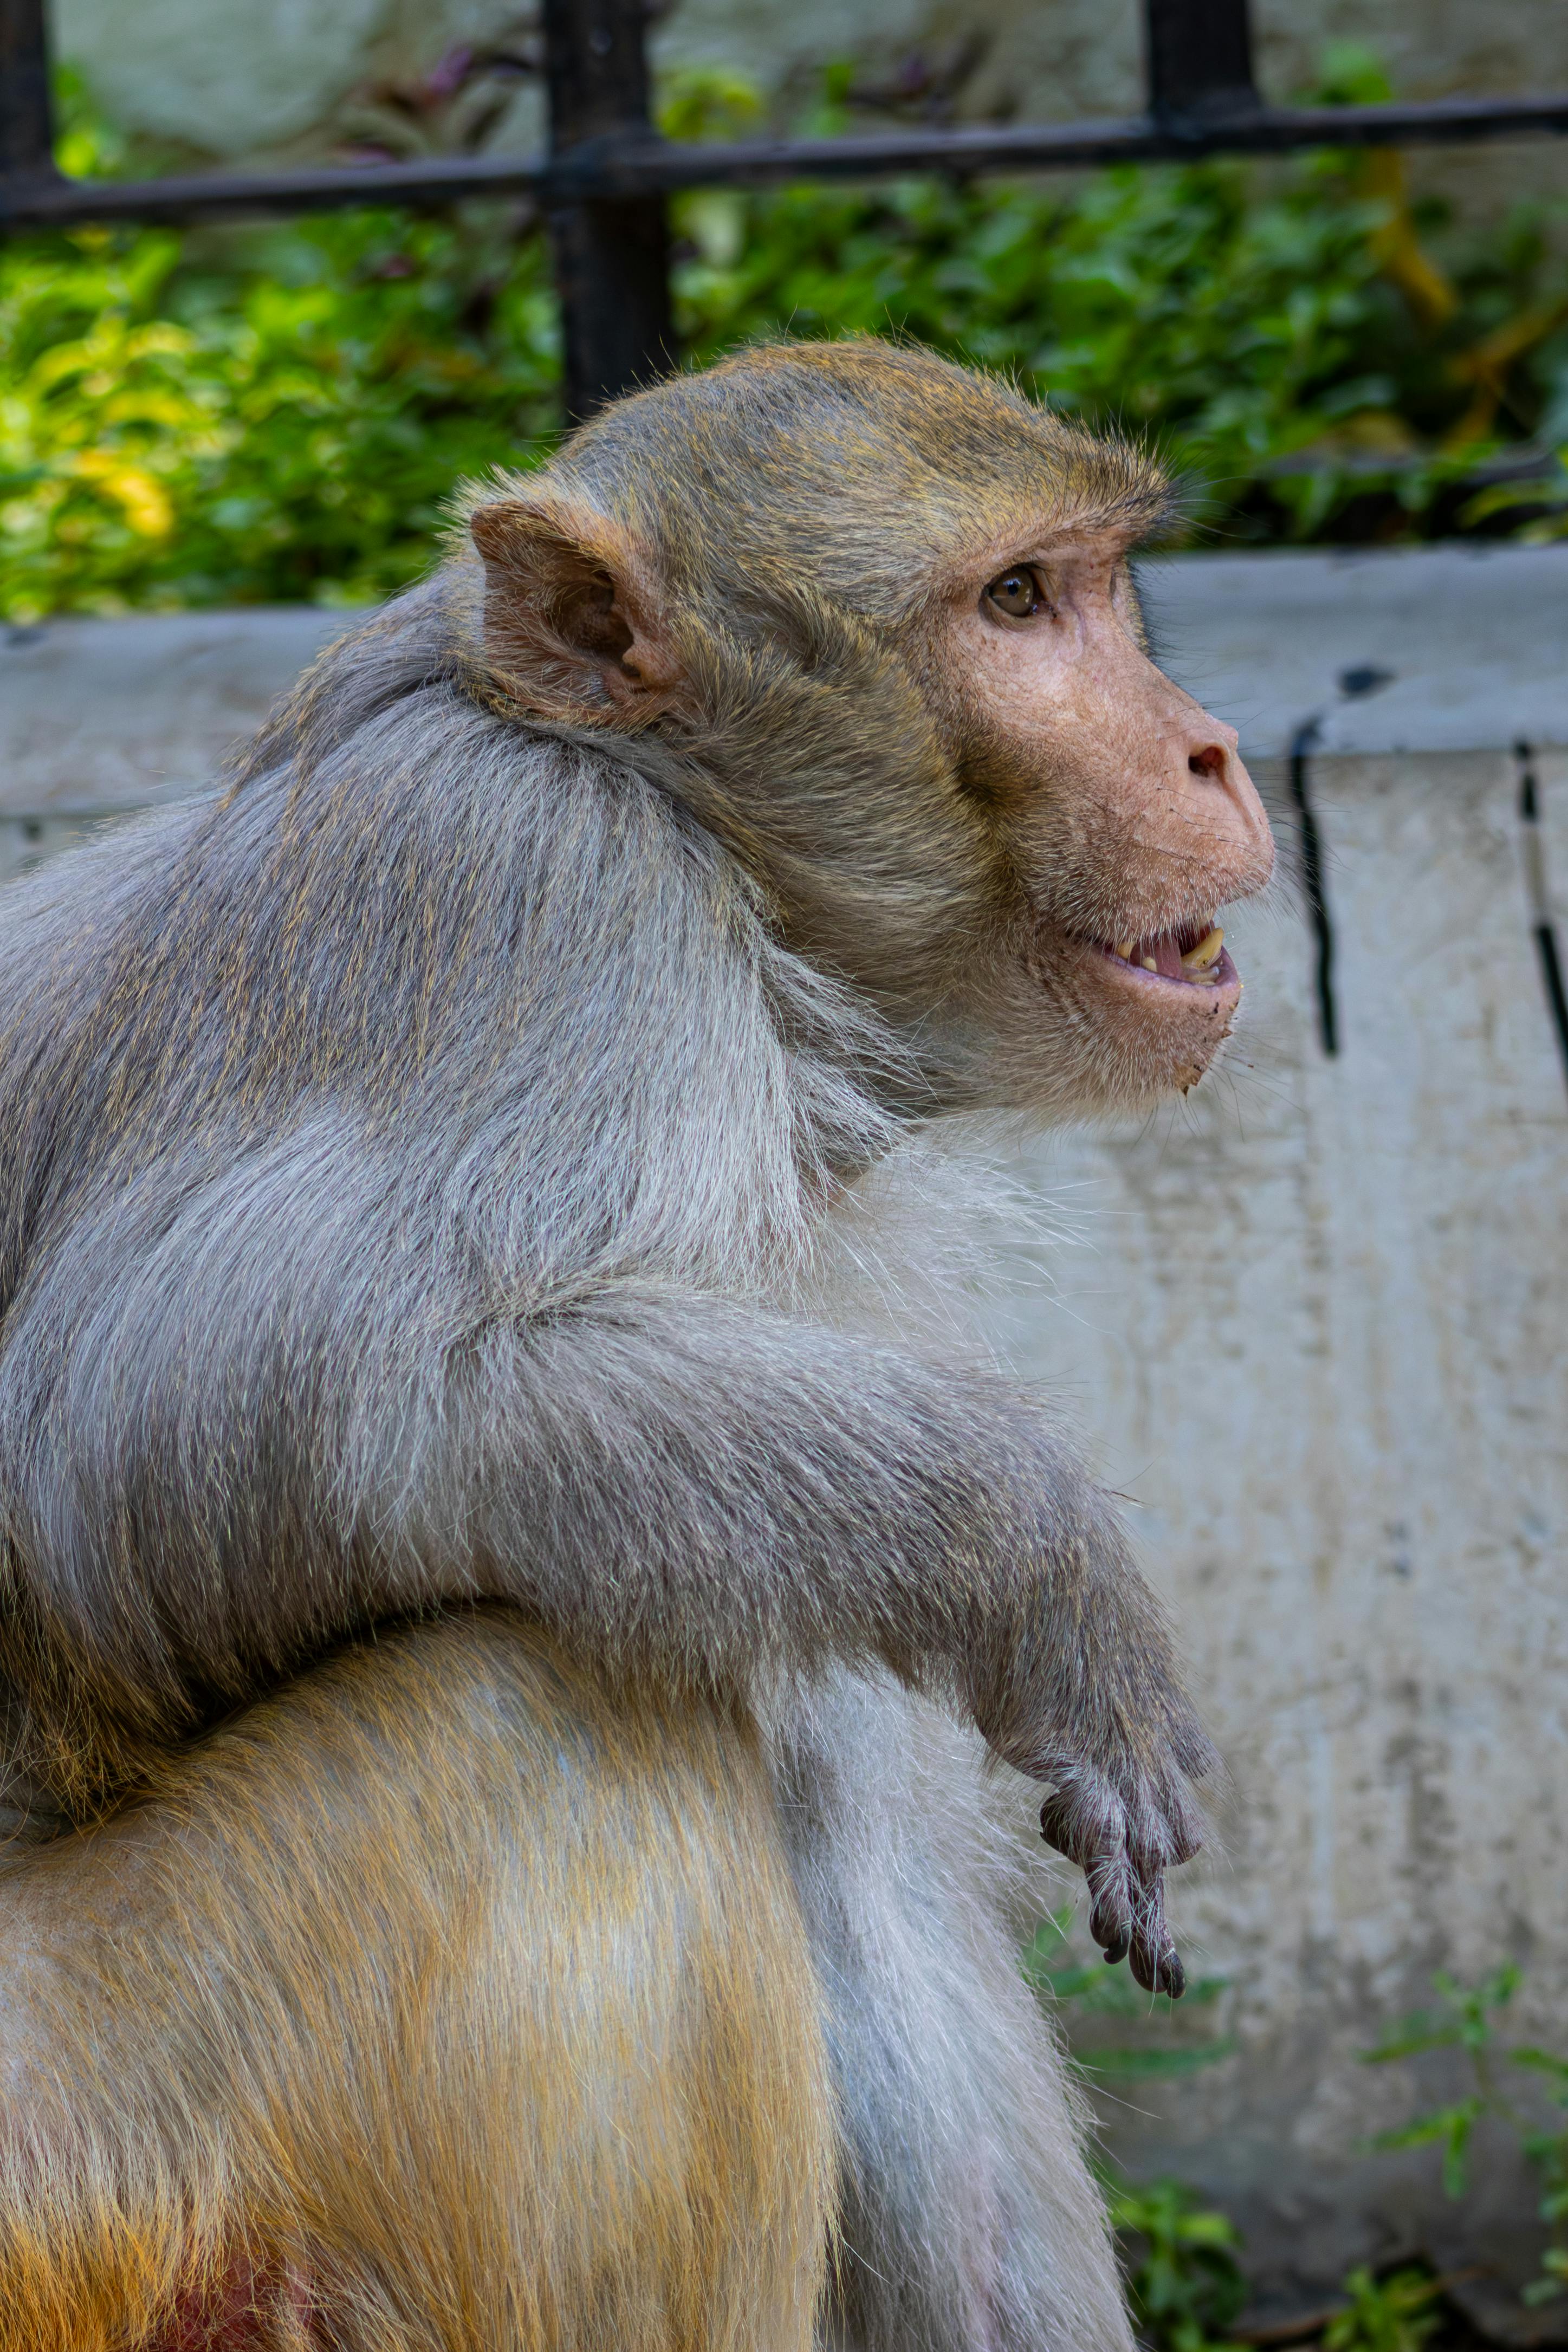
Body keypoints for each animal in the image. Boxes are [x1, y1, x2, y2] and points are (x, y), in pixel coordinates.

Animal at [0, 338, 1274, 2351]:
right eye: (1012, 603)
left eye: (1087, 583)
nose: (1209, 746)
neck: (740, 914)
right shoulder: (524, 892)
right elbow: (168, 1435)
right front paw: (1039, 1557)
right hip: (94, 2154)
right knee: (543, 1712)